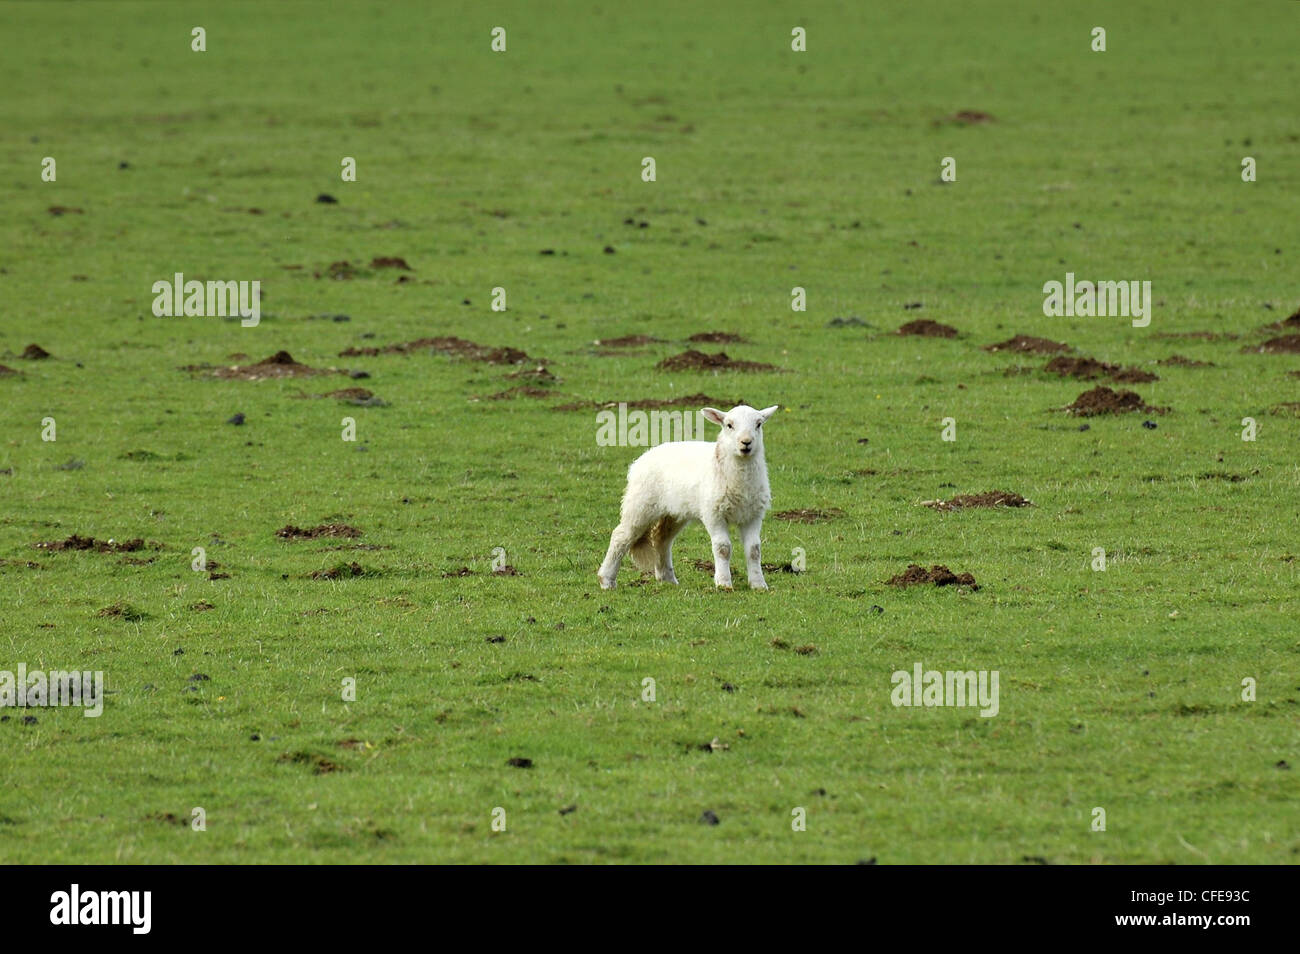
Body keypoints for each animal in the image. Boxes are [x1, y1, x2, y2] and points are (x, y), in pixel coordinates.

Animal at [597, 404, 780, 591]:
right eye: (729, 425)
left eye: (758, 424)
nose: (746, 442)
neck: (739, 480)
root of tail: (642, 458)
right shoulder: (713, 513)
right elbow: (723, 548)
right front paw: (723, 583)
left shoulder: (753, 514)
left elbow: (754, 550)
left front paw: (758, 584)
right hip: (640, 504)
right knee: (620, 537)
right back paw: (607, 580)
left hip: (673, 513)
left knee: (661, 539)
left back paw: (667, 578)